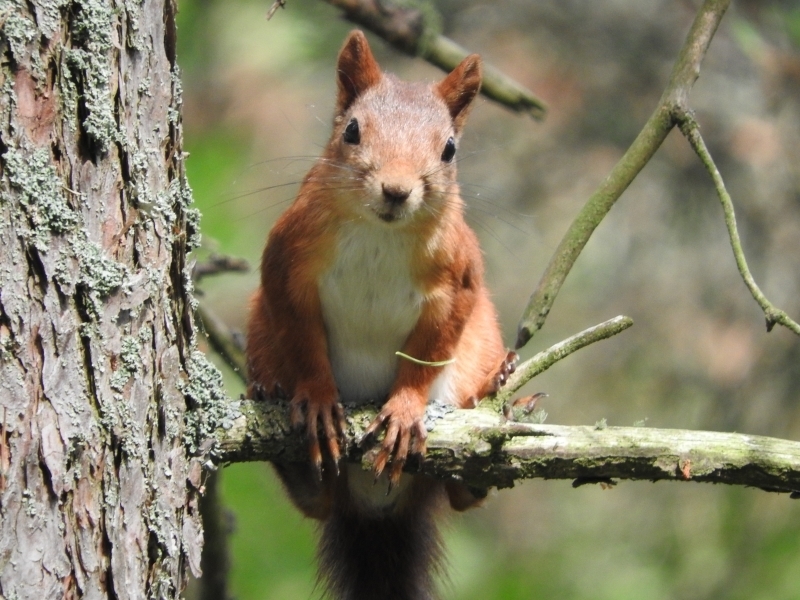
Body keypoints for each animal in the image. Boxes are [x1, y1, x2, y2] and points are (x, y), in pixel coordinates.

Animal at [246, 30, 517, 600]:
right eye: (352, 130)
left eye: (449, 149)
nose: (396, 190)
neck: (381, 234)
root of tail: (377, 510)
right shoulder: (285, 264)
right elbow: (303, 340)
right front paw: (318, 398)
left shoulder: (458, 282)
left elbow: (428, 354)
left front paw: (406, 409)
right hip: (260, 333)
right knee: (316, 500)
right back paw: (273, 405)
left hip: (479, 345)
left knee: (465, 493)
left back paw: (498, 385)